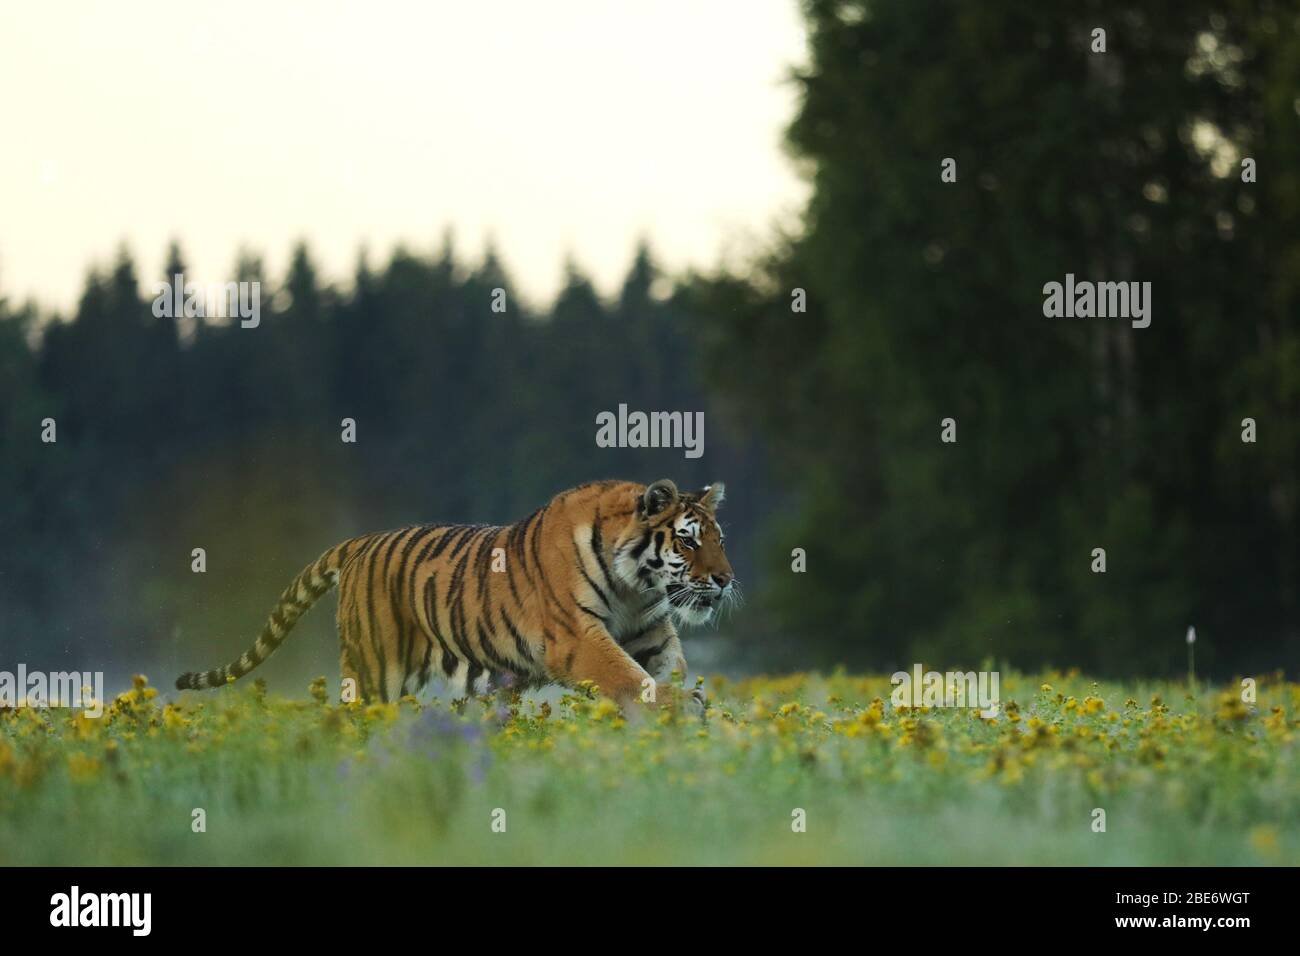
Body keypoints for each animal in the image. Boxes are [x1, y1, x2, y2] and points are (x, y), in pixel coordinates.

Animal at [175, 478, 735, 713]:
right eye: (688, 539)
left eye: (719, 539)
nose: (726, 580)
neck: (634, 586)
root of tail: (360, 543)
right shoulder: (577, 638)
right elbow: (628, 678)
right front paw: (680, 705)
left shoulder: (651, 633)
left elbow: (663, 670)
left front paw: (695, 708)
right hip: (375, 671)